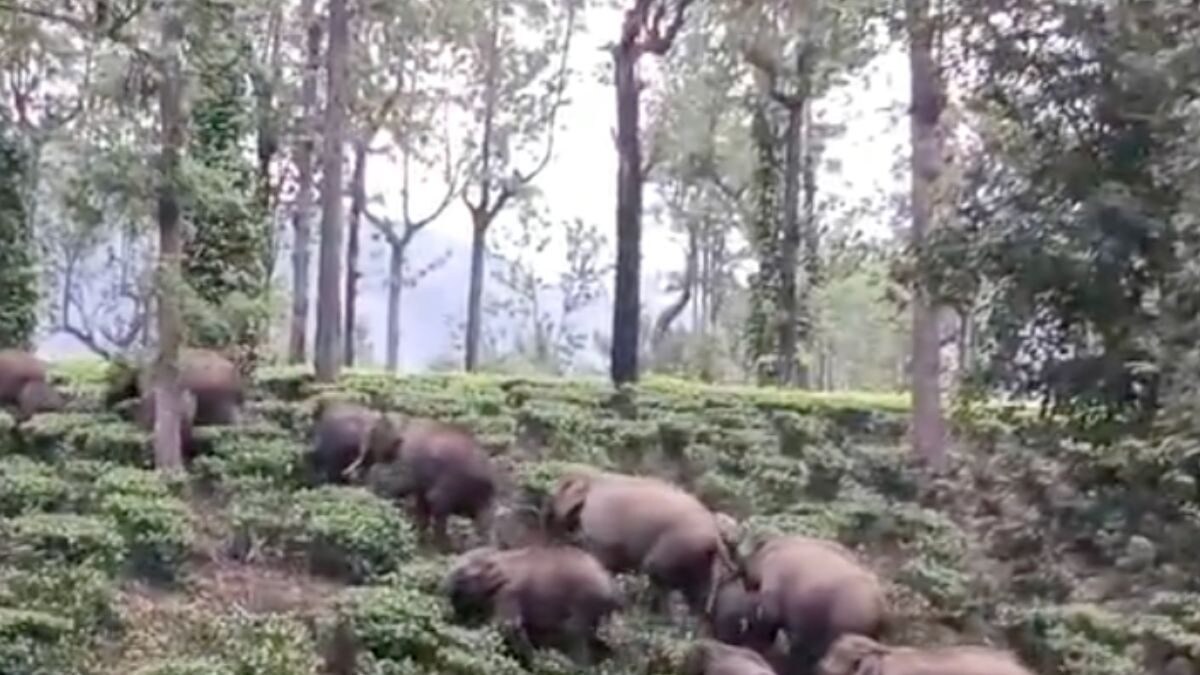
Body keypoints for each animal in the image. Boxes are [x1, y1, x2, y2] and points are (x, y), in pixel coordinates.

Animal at [443, 544, 621, 665]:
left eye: (462, 575)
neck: (500, 556)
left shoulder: (510, 591)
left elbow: (509, 625)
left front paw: (534, 662)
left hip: (585, 600)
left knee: (573, 632)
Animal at [544, 468, 737, 616]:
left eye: (557, 492)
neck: (592, 479)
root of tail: (715, 537)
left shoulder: (601, 531)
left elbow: (603, 559)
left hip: (678, 546)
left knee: (658, 575)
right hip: (699, 558)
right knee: (693, 591)